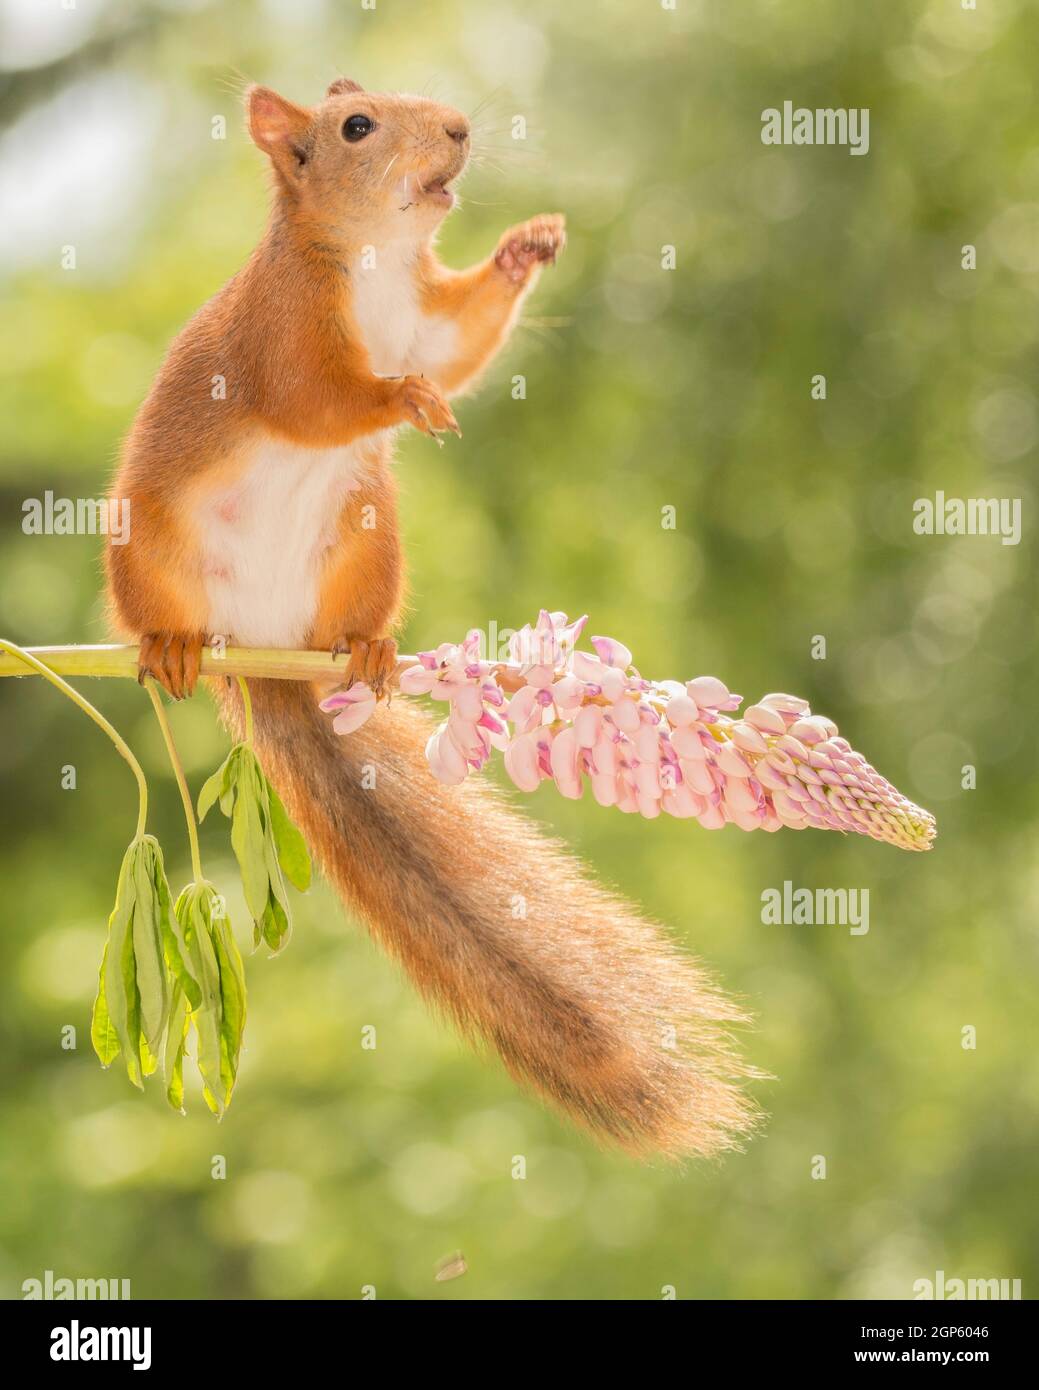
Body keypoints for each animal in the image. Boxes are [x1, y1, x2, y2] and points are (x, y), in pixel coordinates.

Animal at [106, 78, 758, 1160]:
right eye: (355, 126)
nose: (457, 128)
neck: (374, 258)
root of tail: (265, 656)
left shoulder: (426, 316)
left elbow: (459, 349)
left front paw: (526, 247)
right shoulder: (283, 333)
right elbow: (325, 397)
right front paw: (398, 394)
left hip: (368, 538)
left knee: (355, 610)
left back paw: (367, 650)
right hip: (148, 545)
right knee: (159, 604)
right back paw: (168, 644)